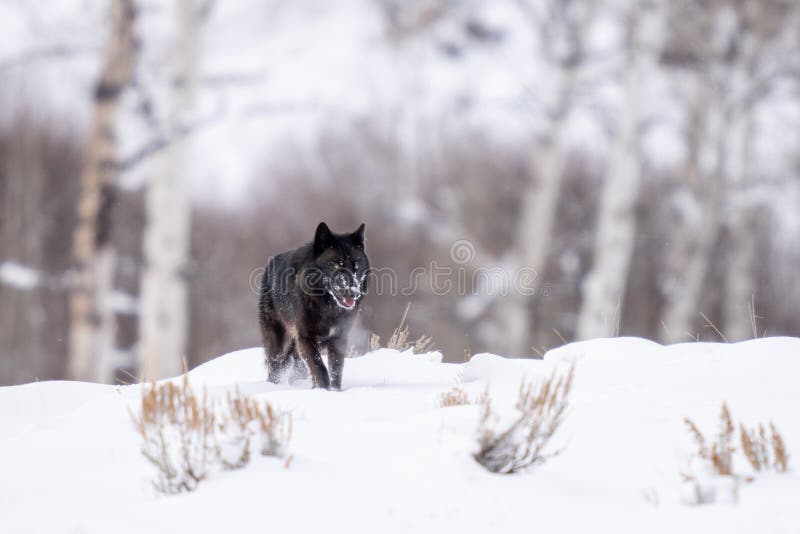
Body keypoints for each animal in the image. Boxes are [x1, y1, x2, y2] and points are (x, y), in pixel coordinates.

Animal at [258, 222, 369, 389]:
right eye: (335, 265)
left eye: (356, 265)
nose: (353, 292)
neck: (328, 307)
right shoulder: (306, 338)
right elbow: (319, 367)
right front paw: (323, 390)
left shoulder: (339, 338)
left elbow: (336, 370)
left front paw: (334, 390)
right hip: (277, 337)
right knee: (275, 365)